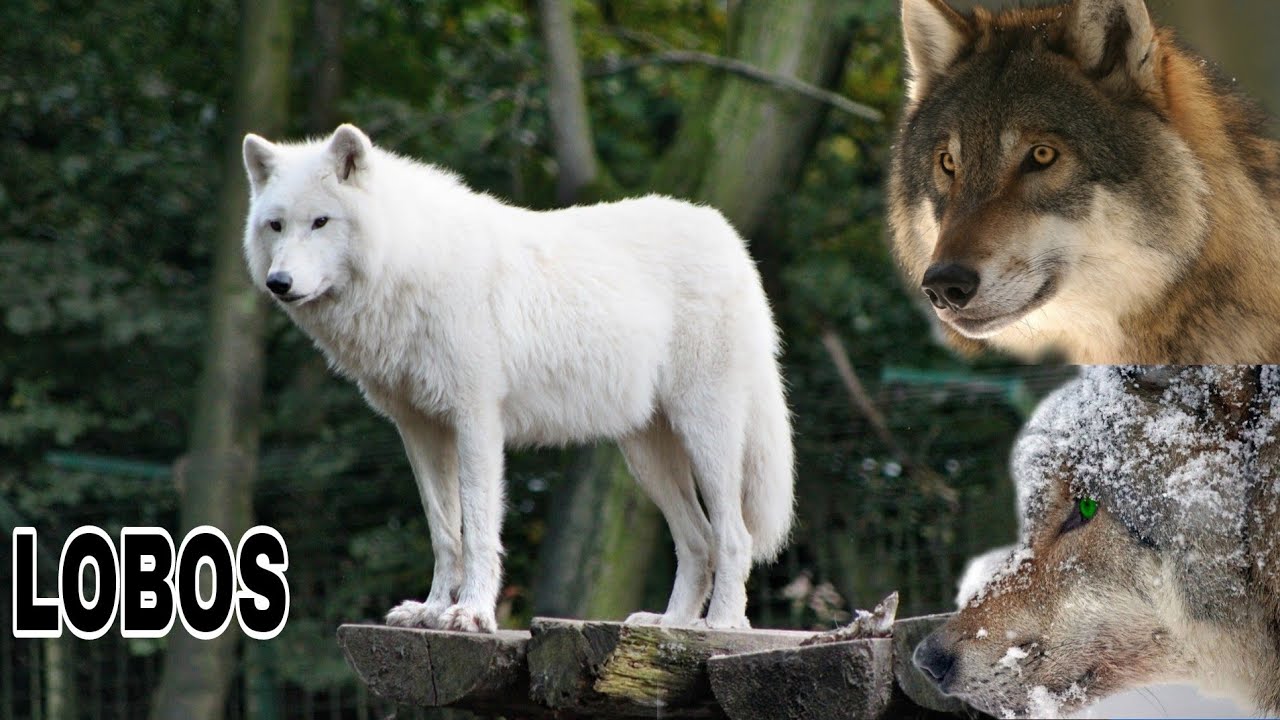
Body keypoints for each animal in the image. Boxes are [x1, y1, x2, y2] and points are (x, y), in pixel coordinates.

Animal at [240, 125, 794, 633]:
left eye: (320, 222)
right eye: (275, 226)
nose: (278, 283)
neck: (409, 264)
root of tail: (729, 238)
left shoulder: (477, 421)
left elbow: (479, 527)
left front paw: (471, 614)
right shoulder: (419, 430)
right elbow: (445, 531)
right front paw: (432, 610)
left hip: (706, 436)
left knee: (734, 536)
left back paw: (721, 625)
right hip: (646, 455)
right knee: (698, 541)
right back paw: (669, 624)